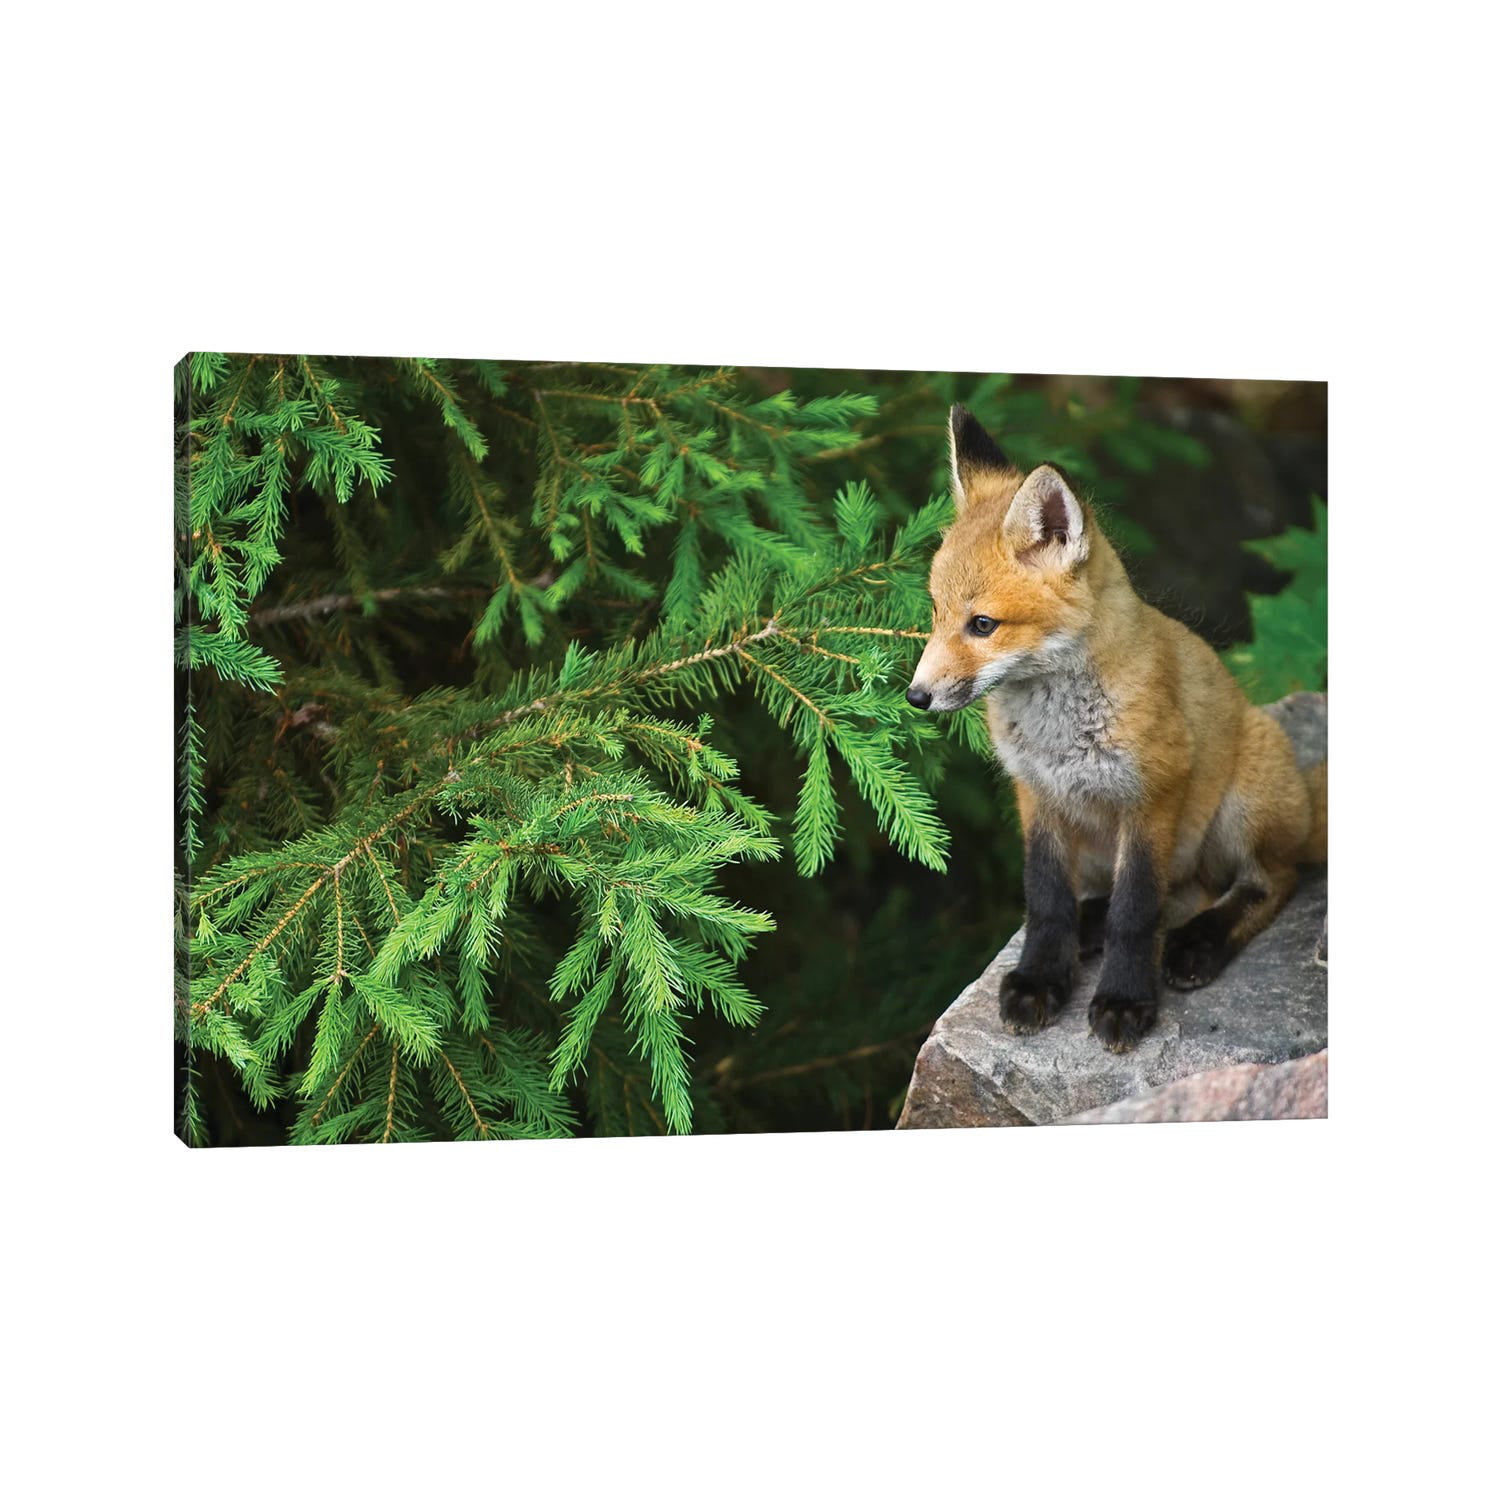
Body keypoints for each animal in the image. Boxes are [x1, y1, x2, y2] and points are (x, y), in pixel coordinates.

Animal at [907, 405, 1326, 1052]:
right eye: (934, 612)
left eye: (982, 625)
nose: (915, 696)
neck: (1060, 736)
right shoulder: (1037, 796)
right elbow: (1045, 900)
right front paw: (1039, 978)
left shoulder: (1152, 796)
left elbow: (1136, 912)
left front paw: (1125, 1000)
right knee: (1186, 891)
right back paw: (1092, 927)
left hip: (1239, 810)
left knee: (1267, 882)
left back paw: (1197, 945)